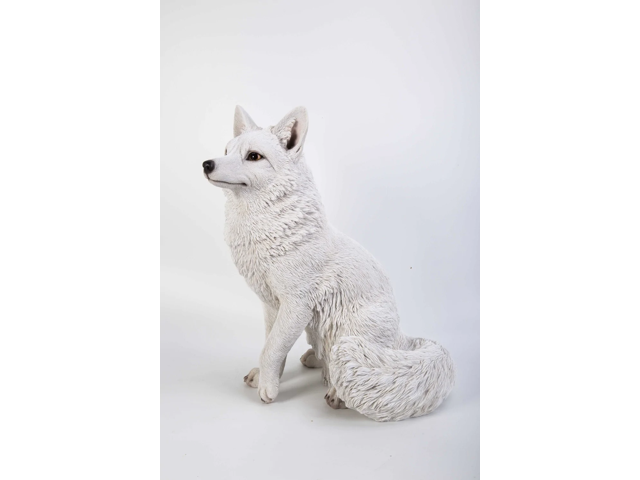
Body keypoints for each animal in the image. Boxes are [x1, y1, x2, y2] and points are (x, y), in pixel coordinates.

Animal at [202, 106, 455, 422]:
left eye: (253, 156)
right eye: (227, 151)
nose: (207, 164)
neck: (269, 228)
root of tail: (401, 340)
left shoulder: (296, 305)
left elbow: (271, 348)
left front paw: (268, 389)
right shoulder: (272, 305)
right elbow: (272, 345)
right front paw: (266, 377)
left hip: (353, 328)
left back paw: (336, 392)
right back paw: (314, 359)